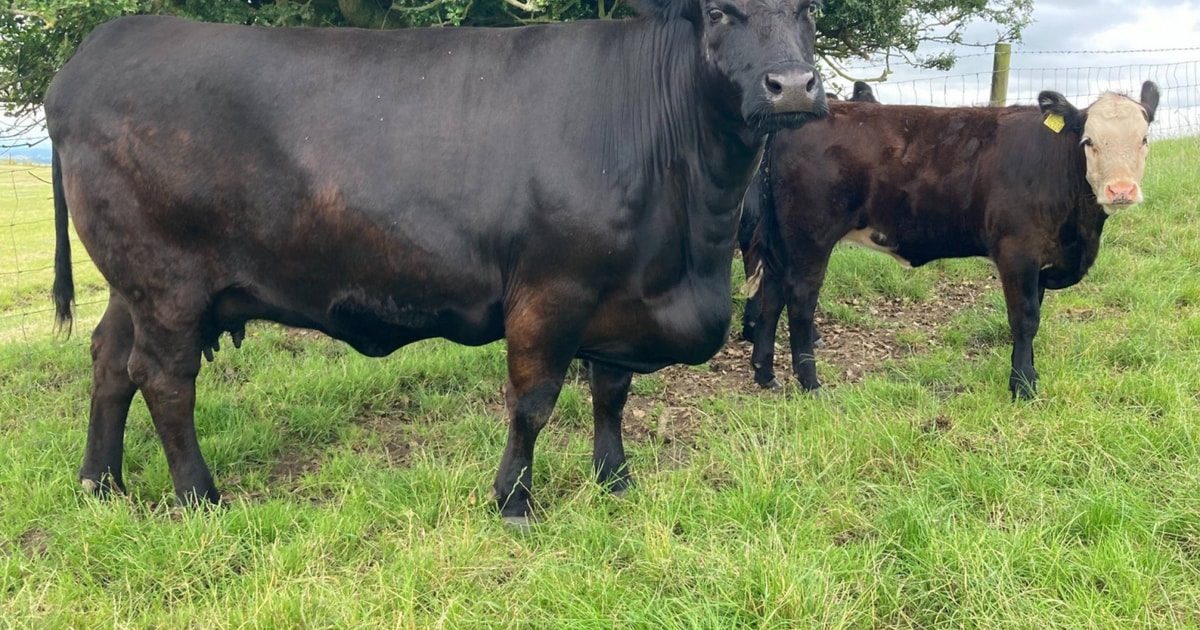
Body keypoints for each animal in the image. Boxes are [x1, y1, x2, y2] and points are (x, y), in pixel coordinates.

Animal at [45, 0, 827, 527]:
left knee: (109, 361)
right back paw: (200, 497)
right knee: (163, 379)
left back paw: (100, 484)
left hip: (132, 284)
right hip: (167, 281)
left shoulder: (621, 296)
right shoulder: (550, 290)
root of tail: (99, 50)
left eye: (807, 10)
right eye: (722, 12)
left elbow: (610, 394)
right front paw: (514, 502)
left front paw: (616, 482)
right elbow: (534, 401)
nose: (793, 85)